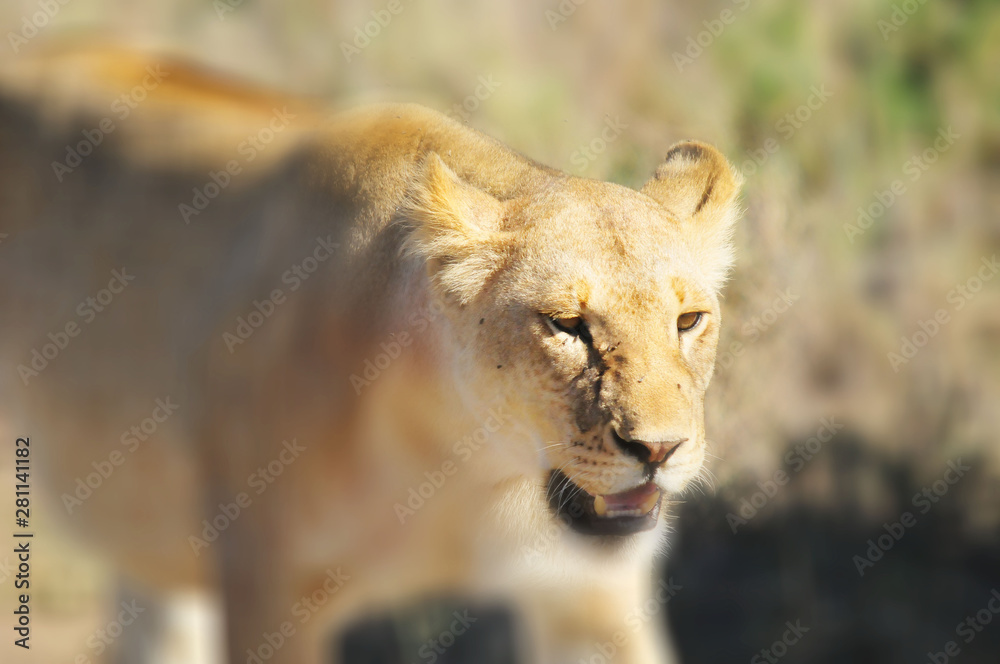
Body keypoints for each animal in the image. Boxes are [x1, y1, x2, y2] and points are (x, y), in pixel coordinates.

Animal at [0, 46, 741, 664]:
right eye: (566, 326)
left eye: (688, 320)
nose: (660, 450)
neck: (473, 468)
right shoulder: (270, 594)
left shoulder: (588, 596)